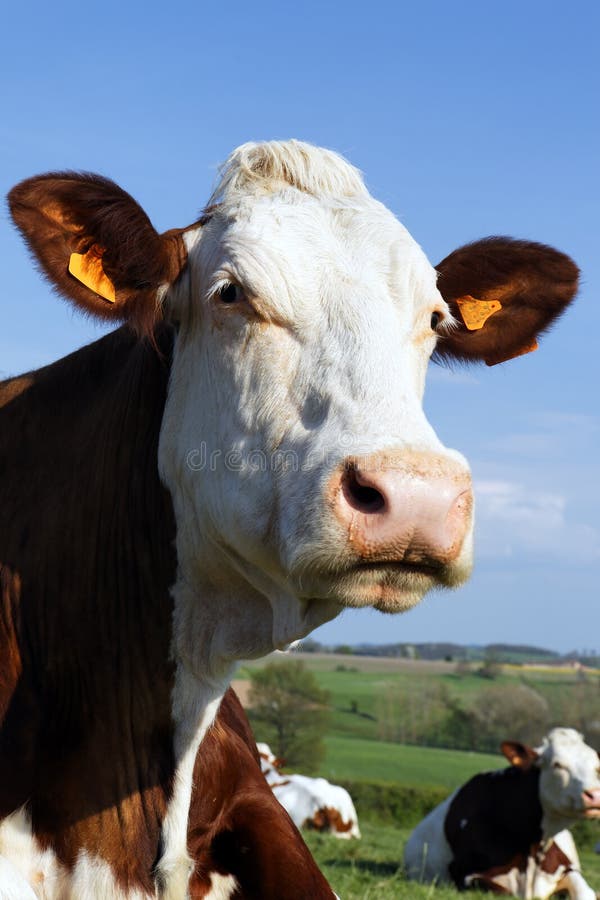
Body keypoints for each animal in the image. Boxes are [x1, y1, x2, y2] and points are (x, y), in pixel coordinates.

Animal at [404, 728, 600, 898]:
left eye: (597, 767)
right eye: (557, 765)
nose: (595, 795)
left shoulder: (566, 868)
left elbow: (586, 891)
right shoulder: (467, 875)